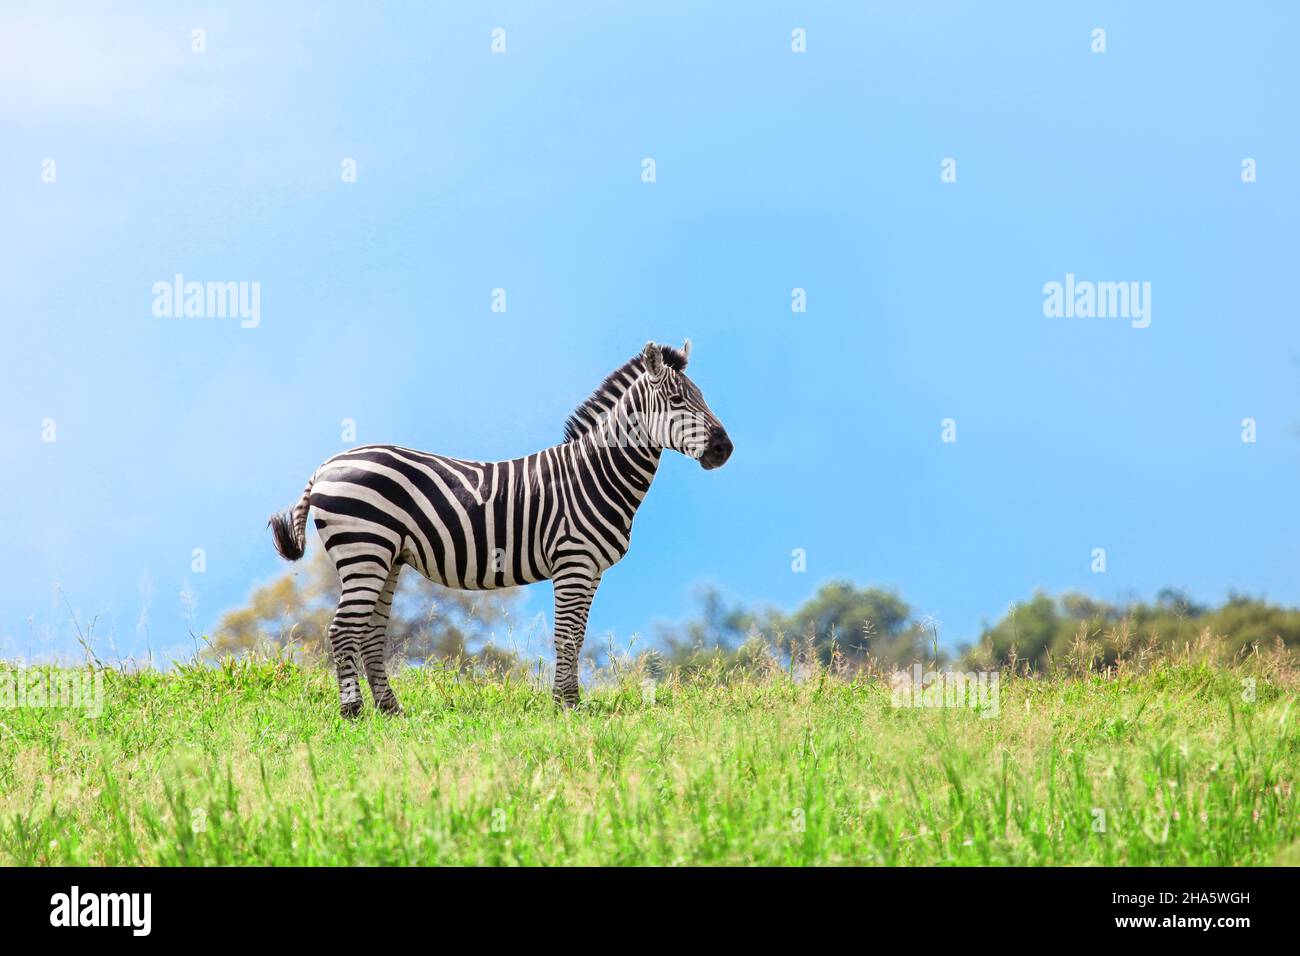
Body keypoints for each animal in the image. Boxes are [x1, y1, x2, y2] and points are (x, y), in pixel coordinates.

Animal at [268, 340, 733, 716]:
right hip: (364, 550)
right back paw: (353, 712)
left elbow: (578, 636)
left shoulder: (591, 571)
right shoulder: (573, 563)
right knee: (343, 630)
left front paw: (571, 703)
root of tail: (326, 465)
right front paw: (565, 707)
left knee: (371, 633)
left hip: (386, 558)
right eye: (677, 399)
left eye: (702, 397)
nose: (724, 449)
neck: (595, 474)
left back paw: (391, 710)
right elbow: (566, 637)